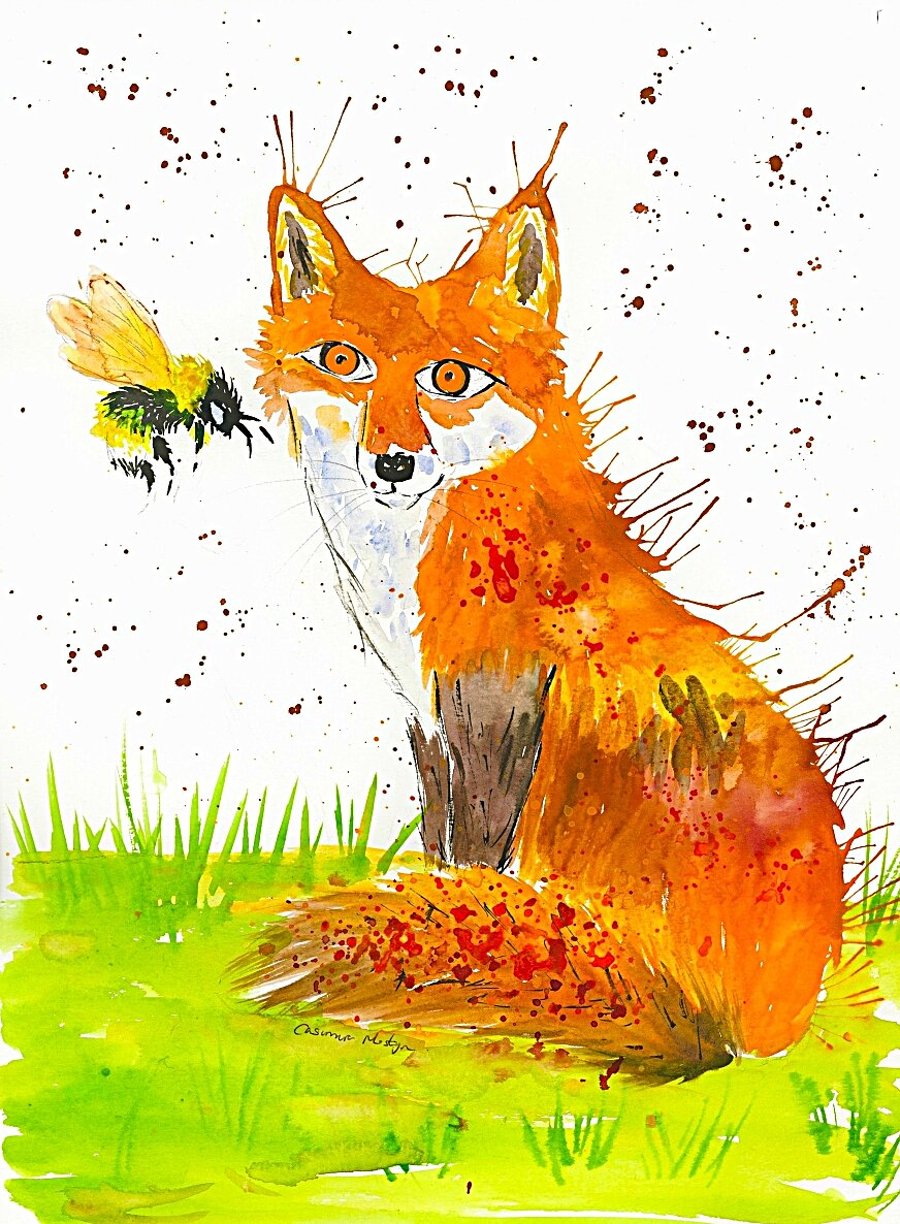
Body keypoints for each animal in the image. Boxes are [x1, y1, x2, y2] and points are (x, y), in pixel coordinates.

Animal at [50, 120, 859, 1077]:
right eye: (343, 363)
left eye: (451, 378)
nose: (393, 463)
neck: (413, 564)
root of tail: (757, 1020)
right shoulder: (428, 713)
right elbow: (443, 848)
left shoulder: (502, 703)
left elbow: (478, 860)